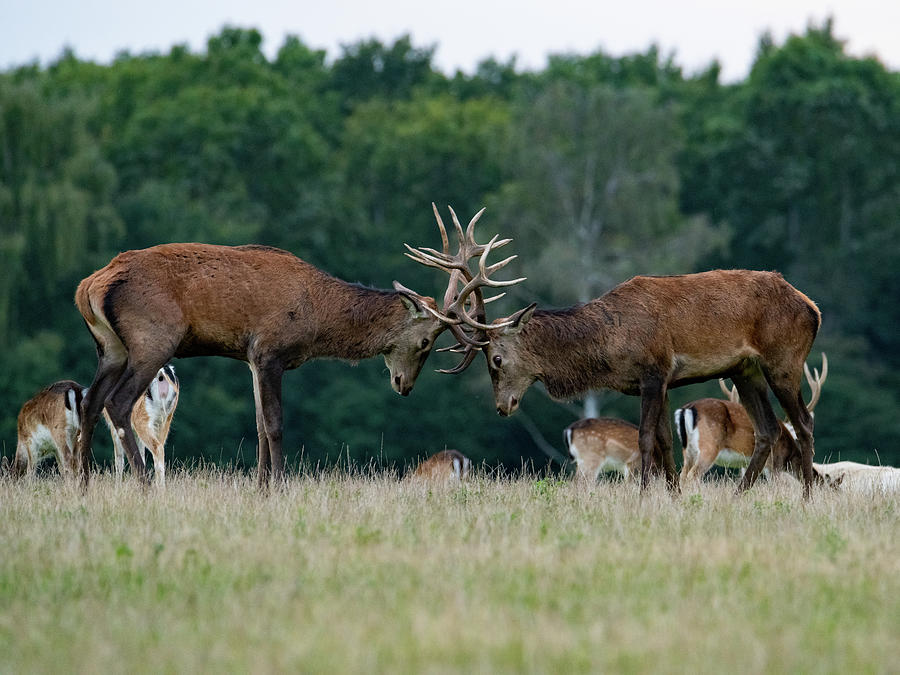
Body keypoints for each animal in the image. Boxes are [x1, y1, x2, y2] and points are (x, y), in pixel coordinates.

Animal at [73, 242, 449, 488]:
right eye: (426, 342)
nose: (404, 385)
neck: (316, 317)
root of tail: (87, 286)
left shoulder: (251, 360)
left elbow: (257, 426)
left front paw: (261, 488)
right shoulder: (270, 352)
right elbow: (275, 424)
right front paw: (280, 486)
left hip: (110, 348)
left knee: (90, 401)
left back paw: (83, 483)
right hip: (152, 341)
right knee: (117, 402)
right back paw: (145, 485)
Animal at [675, 354, 827, 483]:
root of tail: (686, 409)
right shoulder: (773, 464)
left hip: (688, 451)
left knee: (682, 475)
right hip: (708, 446)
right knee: (692, 476)